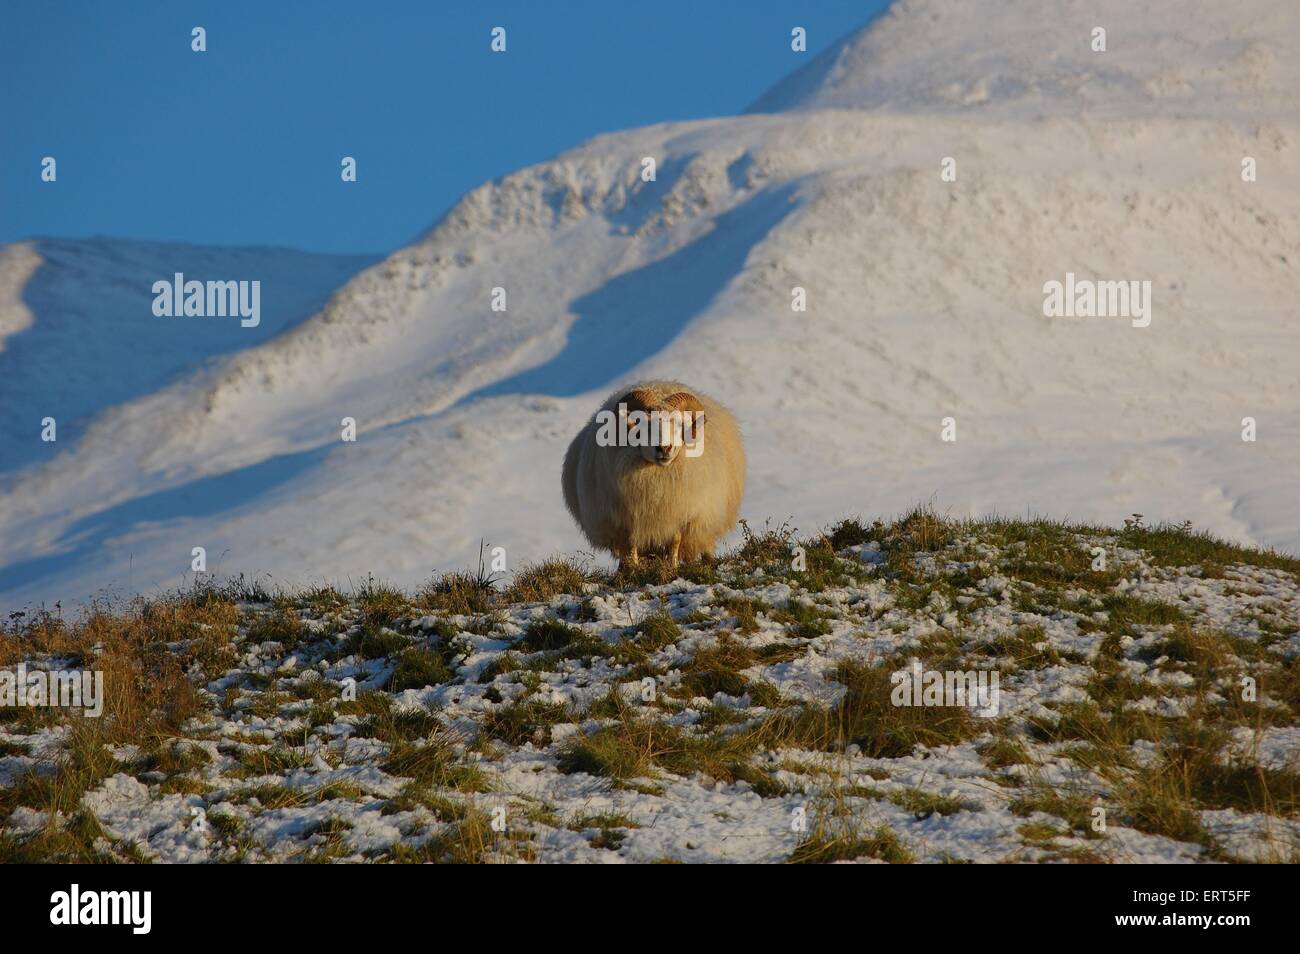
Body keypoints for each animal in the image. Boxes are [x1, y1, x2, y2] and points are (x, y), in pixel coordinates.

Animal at [562, 380, 745, 569]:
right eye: (644, 423)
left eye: (678, 424)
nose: (664, 448)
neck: (657, 486)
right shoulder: (627, 520)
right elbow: (631, 543)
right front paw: (633, 568)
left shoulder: (679, 514)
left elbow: (675, 540)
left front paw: (672, 566)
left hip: (706, 522)